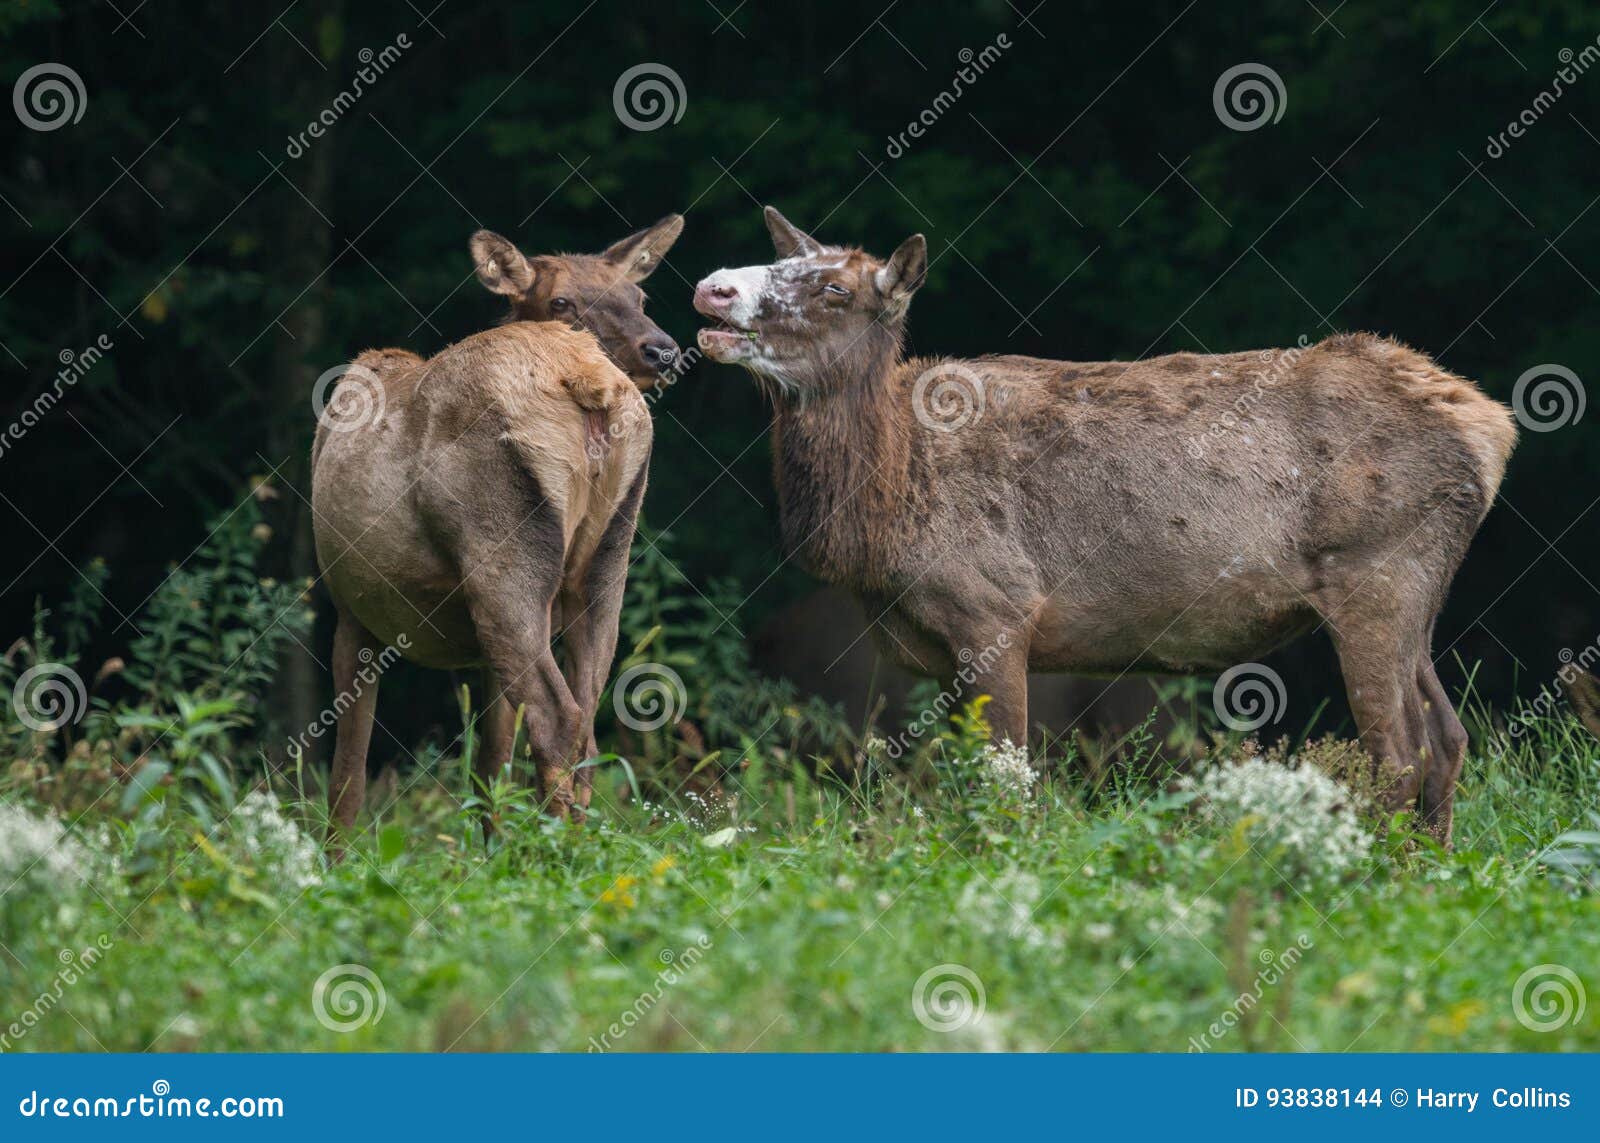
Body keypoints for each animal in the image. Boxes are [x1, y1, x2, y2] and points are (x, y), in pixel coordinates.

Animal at [311, 215, 684, 845]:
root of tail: (589, 381)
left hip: (503, 555)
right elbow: (490, 764)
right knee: (587, 722)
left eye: (639, 298)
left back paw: (555, 853)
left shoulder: (350, 608)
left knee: (559, 719)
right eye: (561, 300)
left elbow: (347, 778)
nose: (662, 349)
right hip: (608, 557)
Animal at [693, 206, 1517, 842]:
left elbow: (1004, 778)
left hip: (1376, 572)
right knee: (1449, 737)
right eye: (781, 260)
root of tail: (1492, 427)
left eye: (835, 287)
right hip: (1414, 590)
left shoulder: (995, 607)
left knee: (1401, 749)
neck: (888, 512)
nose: (713, 285)